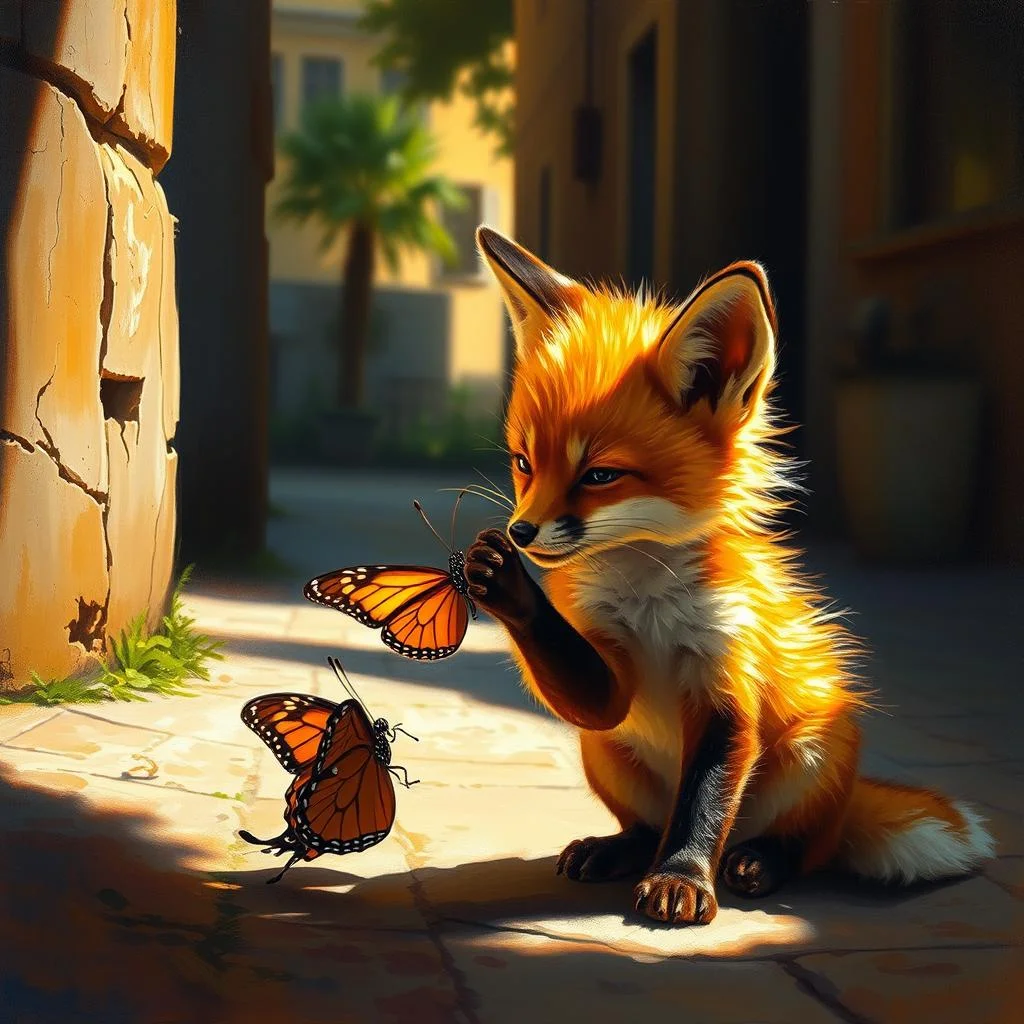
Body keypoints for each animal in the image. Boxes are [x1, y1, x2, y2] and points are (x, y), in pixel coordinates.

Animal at [462, 225, 995, 926]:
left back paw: (758, 863)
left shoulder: (727, 684)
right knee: (647, 827)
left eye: (600, 475)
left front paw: (684, 878)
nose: (521, 532)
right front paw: (502, 583)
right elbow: (592, 697)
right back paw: (617, 849)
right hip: (604, 752)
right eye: (524, 462)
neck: (650, 601)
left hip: (810, 752)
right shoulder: (607, 676)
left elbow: (704, 804)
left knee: (804, 846)